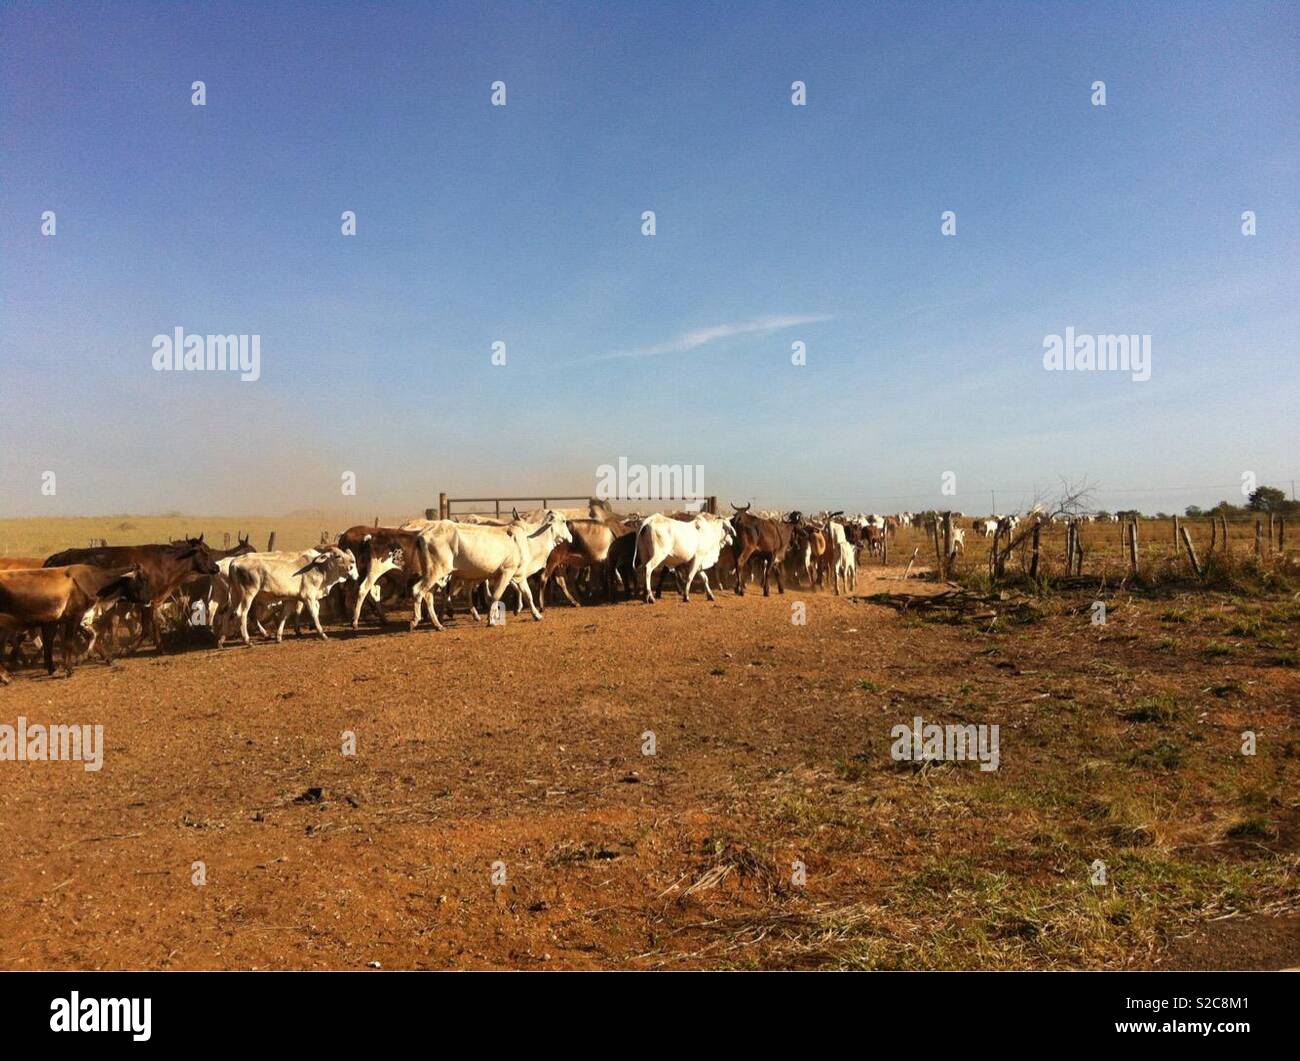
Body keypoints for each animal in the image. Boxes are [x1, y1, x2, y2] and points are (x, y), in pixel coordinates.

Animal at [0, 564, 151, 677]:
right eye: (142, 580)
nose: (149, 600)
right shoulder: (74, 617)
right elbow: (69, 642)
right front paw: (69, 669)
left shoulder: (58, 621)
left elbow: (91, 636)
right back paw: (6, 676)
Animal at [43, 538, 221, 651]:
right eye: (205, 552)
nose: (217, 567)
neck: (164, 562)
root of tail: (58, 556)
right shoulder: (146, 601)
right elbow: (146, 627)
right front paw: (130, 648)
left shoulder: (154, 600)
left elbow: (154, 623)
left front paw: (160, 647)